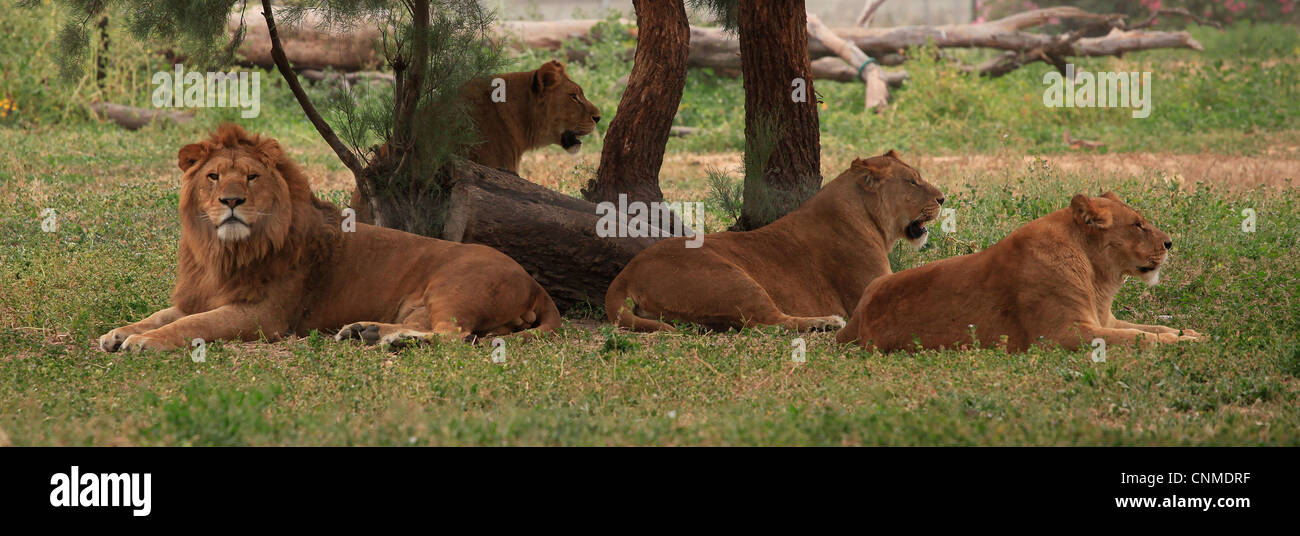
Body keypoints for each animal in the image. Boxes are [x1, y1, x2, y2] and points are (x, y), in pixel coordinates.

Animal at [98, 124, 560, 353]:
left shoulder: (264, 316)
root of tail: (535, 283)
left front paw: (145, 342)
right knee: (431, 327)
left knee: (455, 336)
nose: (231, 200)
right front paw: (120, 332)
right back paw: (368, 332)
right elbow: (163, 314)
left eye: (251, 177)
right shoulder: (198, 295)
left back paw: (393, 340)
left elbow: (193, 324)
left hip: (454, 285)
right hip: (419, 302)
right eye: (213, 177)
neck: (223, 251)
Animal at [605, 151, 945, 332]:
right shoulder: (869, 290)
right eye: (913, 182)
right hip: (732, 279)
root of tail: (628, 271)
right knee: (768, 321)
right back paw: (825, 322)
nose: (943, 198)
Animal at [835, 192, 1202, 352]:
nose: (1169, 243)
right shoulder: (1063, 334)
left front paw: (1191, 333)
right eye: (1138, 225)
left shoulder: (1103, 321)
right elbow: (1138, 337)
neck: (1099, 278)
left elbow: (1150, 327)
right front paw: (1185, 342)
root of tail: (857, 315)